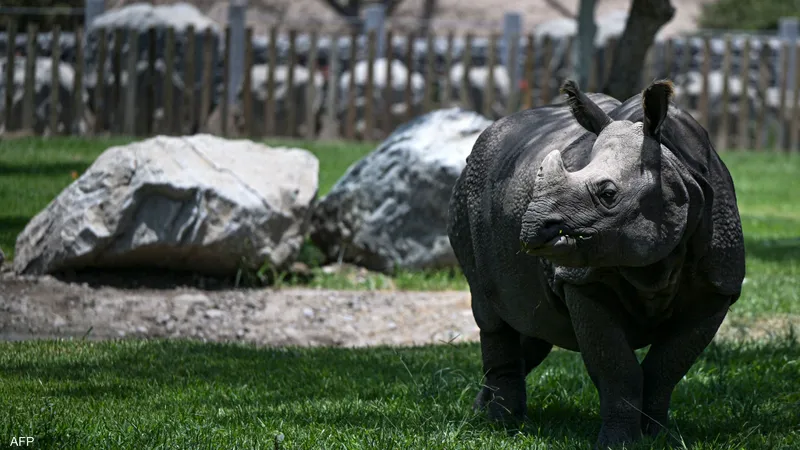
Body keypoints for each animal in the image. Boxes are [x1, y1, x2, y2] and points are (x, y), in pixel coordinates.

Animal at [446, 79, 745, 448]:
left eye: (608, 194)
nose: (531, 227)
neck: (676, 168)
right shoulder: (583, 280)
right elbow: (617, 368)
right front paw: (618, 442)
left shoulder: (718, 286)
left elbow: (665, 369)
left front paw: (659, 438)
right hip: (465, 197)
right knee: (492, 314)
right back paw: (503, 425)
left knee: (533, 325)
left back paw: (482, 414)